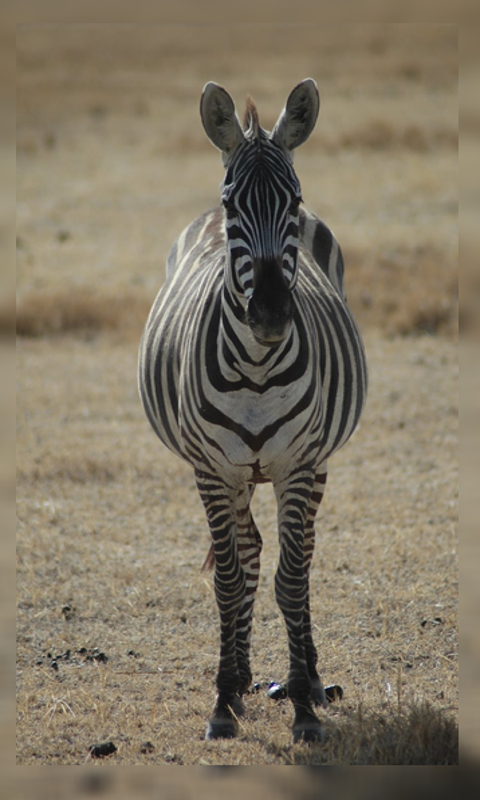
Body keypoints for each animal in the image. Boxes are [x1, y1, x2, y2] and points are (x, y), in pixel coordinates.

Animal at [138, 79, 367, 743]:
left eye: (294, 202)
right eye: (235, 207)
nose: (269, 313)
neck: (258, 366)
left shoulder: (298, 463)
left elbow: (291, 578)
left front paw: (303, 707)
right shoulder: (212, 471)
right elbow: (228, 579)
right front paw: (222, 700)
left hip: (314, 462)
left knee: (300, 553)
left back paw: (308, 676)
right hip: (237, 472)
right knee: (247, 549)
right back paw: (239, 677)